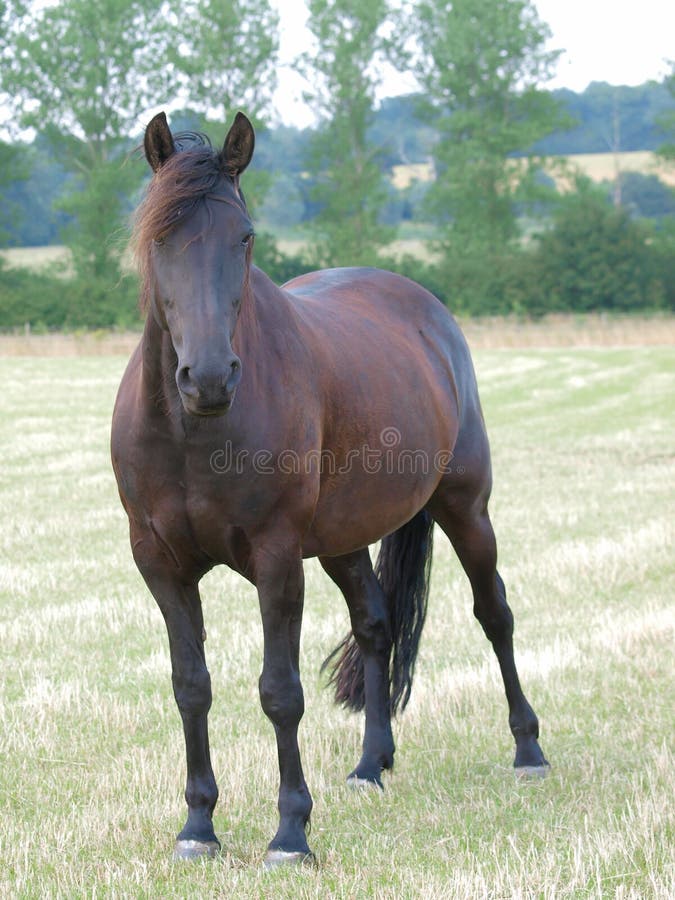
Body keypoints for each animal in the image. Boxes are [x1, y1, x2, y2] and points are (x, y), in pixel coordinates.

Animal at [111, 111, 549, 866]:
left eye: (244, 235)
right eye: (159, 235)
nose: (208, 378)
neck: (193, 434)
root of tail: (425, 309)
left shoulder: (277, 559)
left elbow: (279, 692)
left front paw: (290, 833)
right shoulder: (160, 564)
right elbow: (190, 688)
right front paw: (198, 827)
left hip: (465, 508)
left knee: (494, 614)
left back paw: (528, 751)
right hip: (344, 540)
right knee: (374, 625)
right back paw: (371, 764)